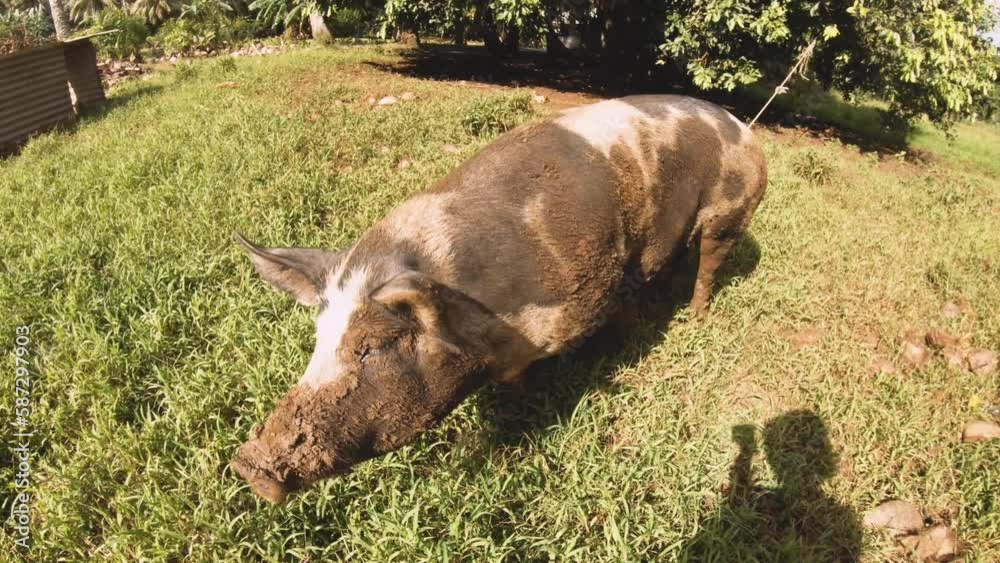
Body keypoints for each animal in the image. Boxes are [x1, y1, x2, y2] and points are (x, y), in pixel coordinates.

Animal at [230, 95, 767, 504]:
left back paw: (696, 317)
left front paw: (515, 437)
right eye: (318, 340)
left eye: (371, 347)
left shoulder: (550, 323)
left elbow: (517, 389)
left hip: (732, 210)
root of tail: (740, 124)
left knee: (710, 262)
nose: (247, 465)